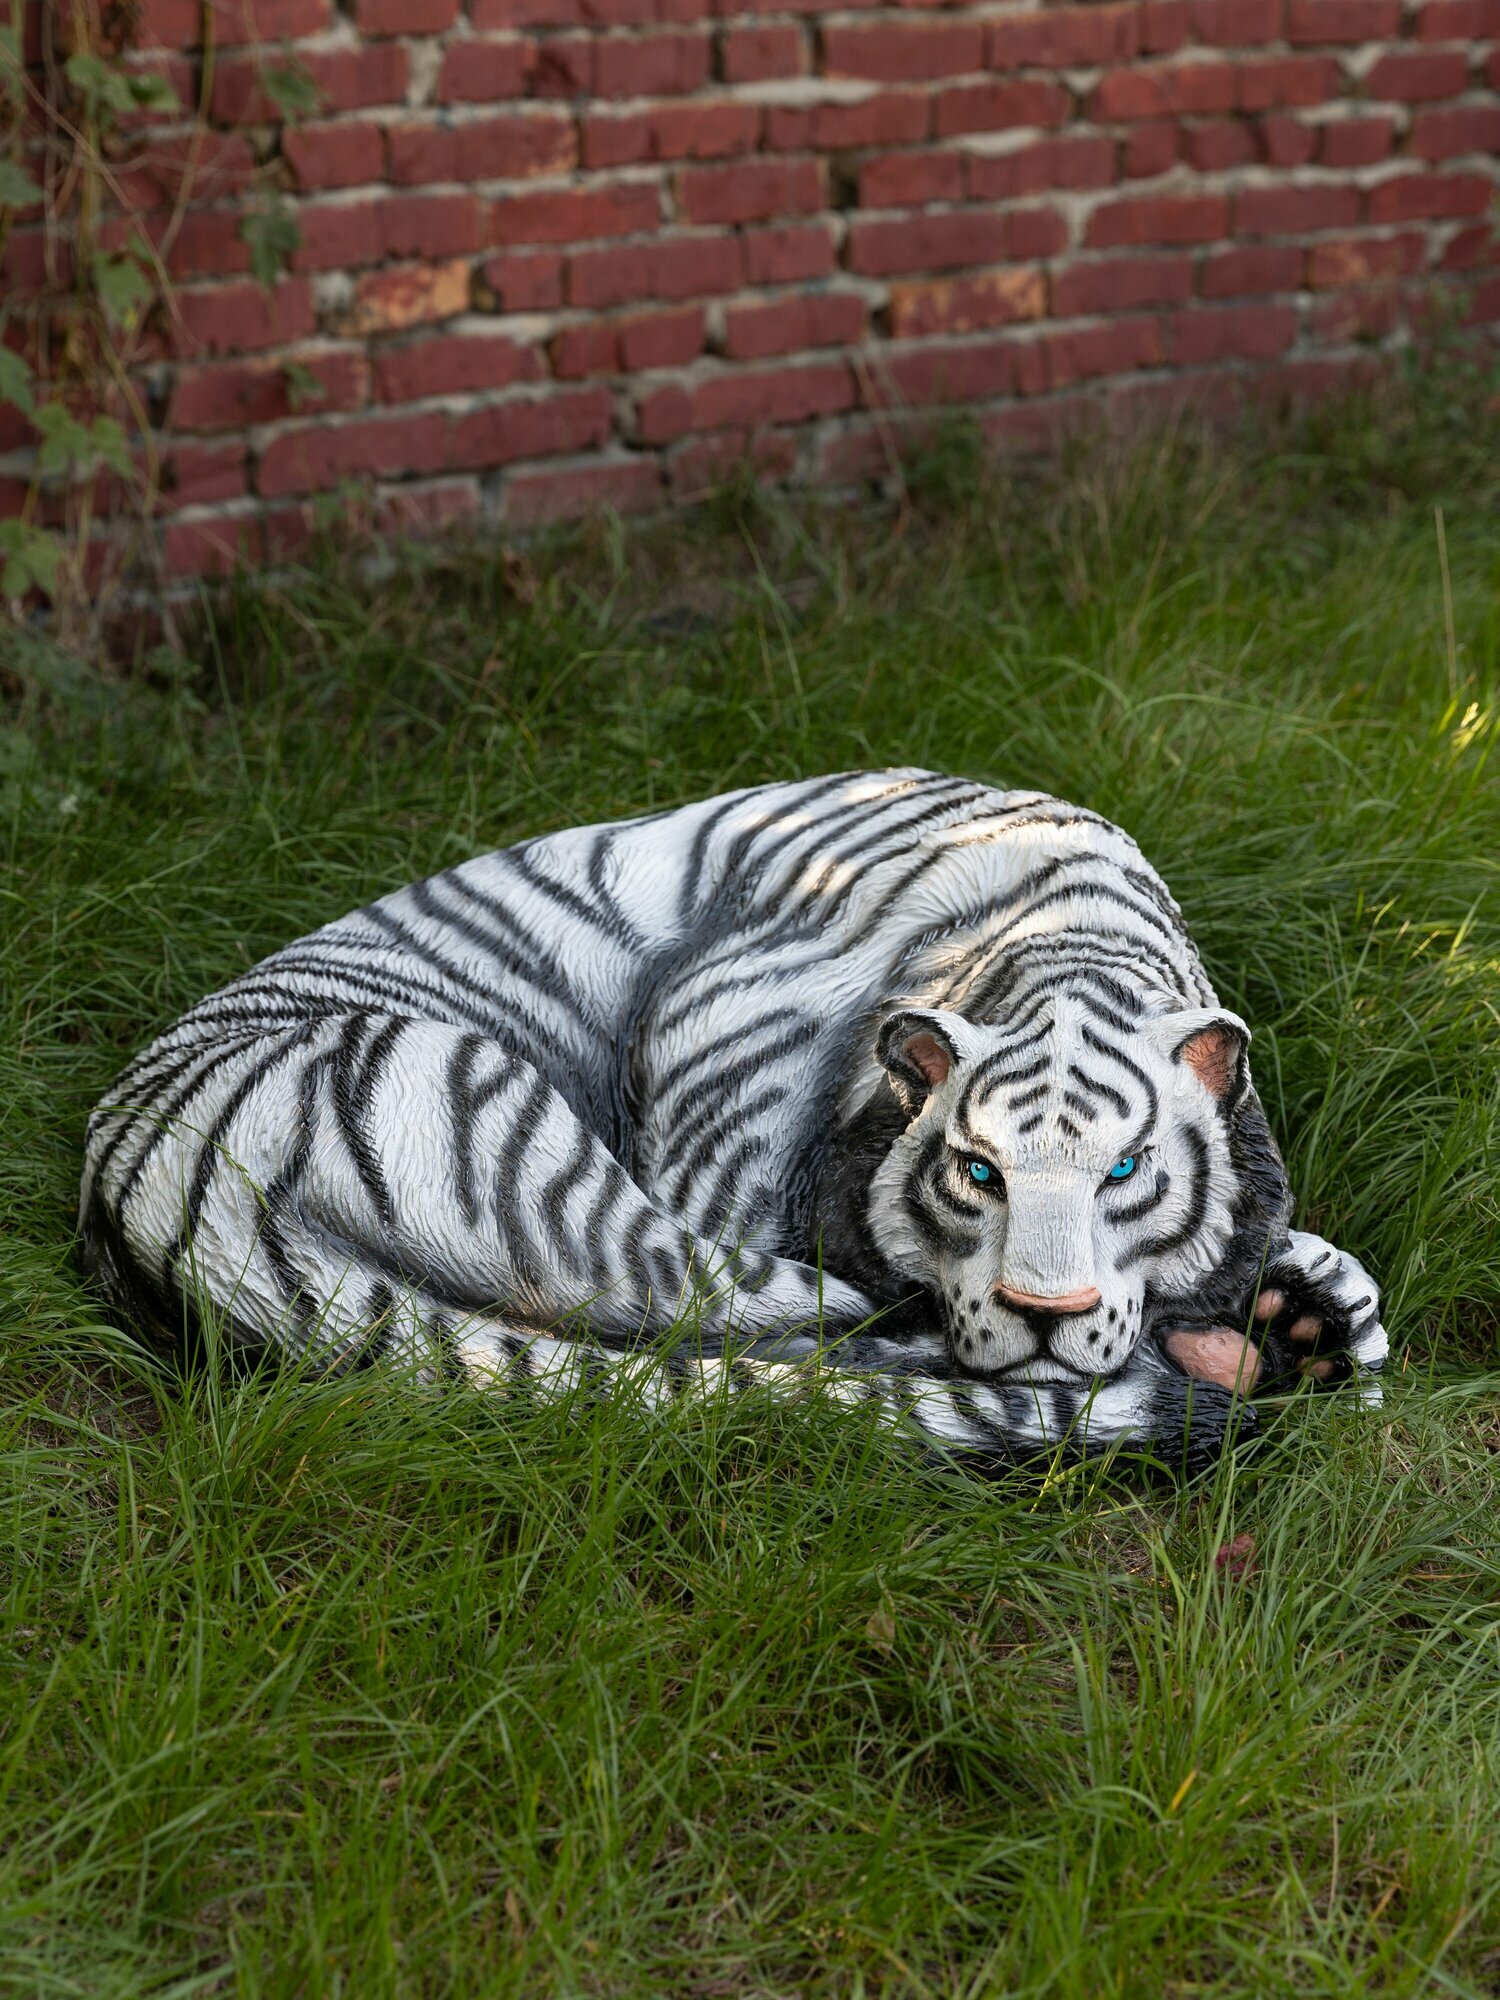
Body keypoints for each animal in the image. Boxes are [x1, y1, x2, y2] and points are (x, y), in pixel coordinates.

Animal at [80, 769, 1387, 1470]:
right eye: (976, 1172)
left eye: (1125, 1172)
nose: (1046, 1314)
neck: (1063, 940)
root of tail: (134, 1164)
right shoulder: (716, 1036)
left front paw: (1311, 1306)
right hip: (507, 1135)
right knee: (753, 1325)